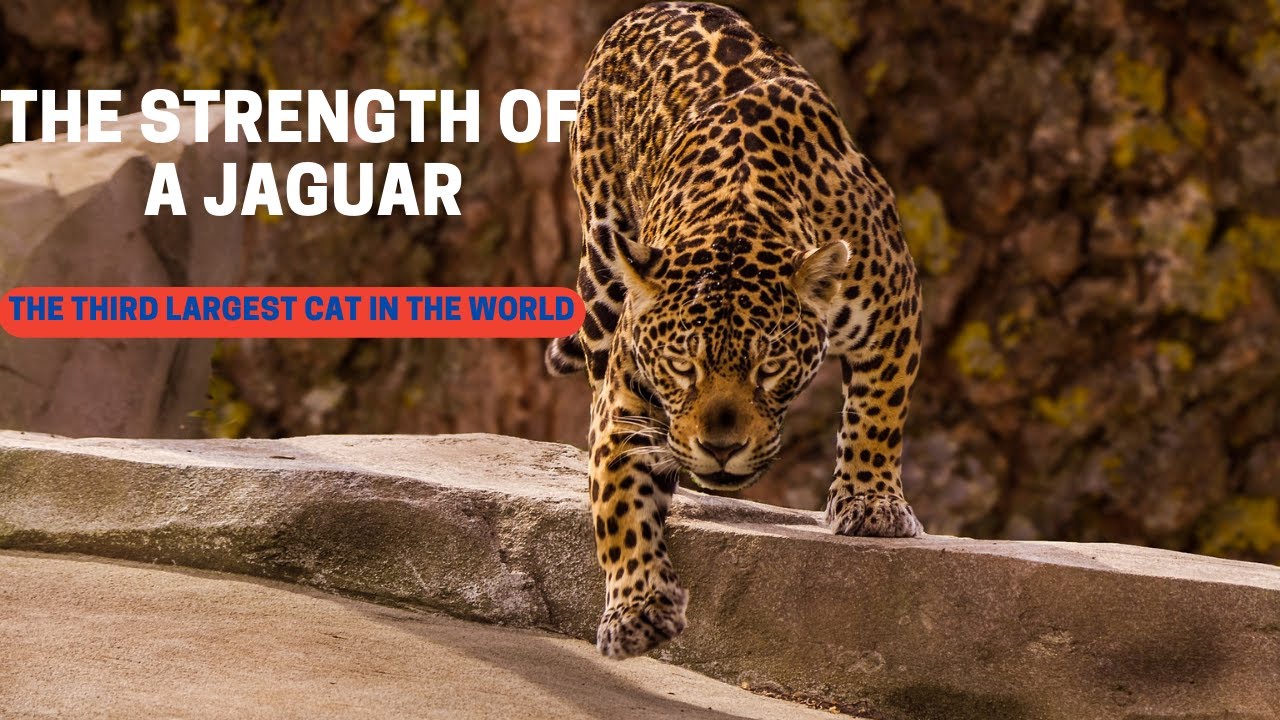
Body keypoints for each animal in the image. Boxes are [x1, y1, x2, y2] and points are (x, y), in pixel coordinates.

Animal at [545, 1, 924, 659]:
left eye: (769, 368)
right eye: (681, 366)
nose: (721, 449)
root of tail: (650, 8)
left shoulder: (893, 306)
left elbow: (877, 414)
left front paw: (871, 502)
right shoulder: (625, 396)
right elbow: (618, 502)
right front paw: (638, 609)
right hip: (604, 243)